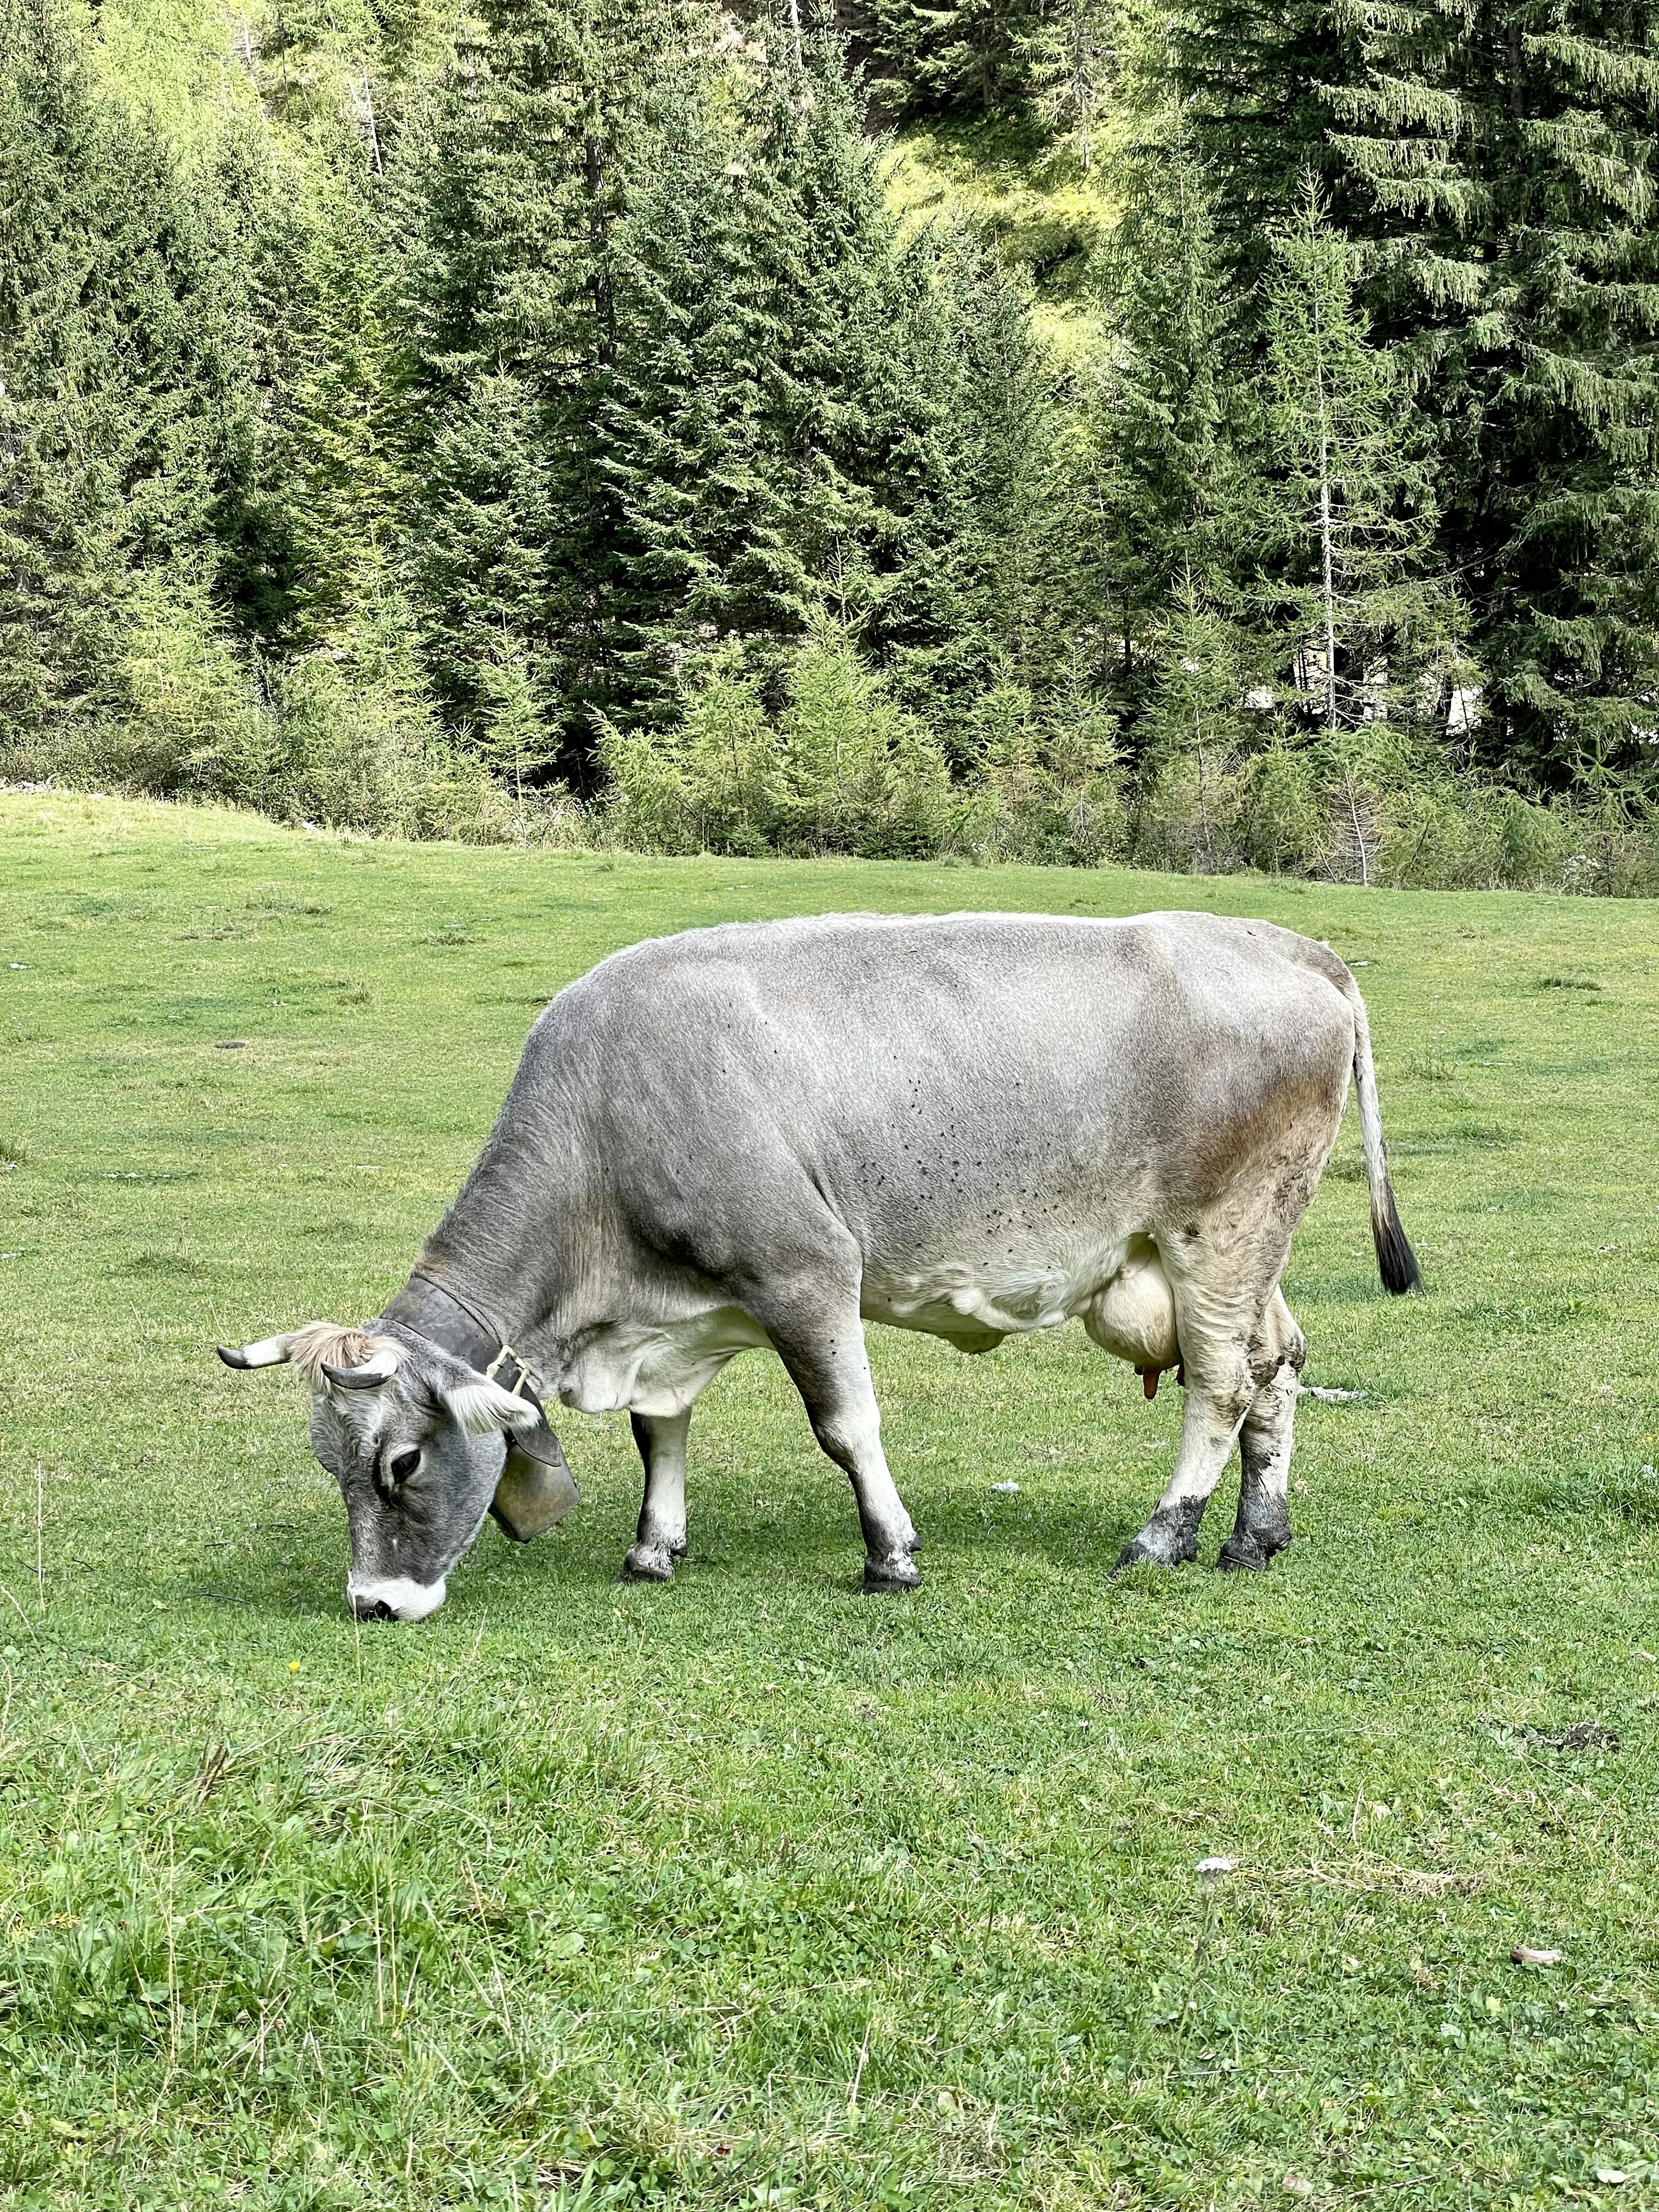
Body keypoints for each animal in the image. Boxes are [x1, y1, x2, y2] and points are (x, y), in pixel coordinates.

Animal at [217, 910, 1418, 1620]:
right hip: (1237, 1253)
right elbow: (661, 1433)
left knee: (1219, 1384)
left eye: (403, 1463)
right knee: (1276, 1367)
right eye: (330, 1464)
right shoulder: (675, 1318)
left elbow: (846, 1429)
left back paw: (1163, 1536)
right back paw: (1256, 1535)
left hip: (1219, 1232)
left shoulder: (804, 1273)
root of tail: (1283, 942)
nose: (371, 1602)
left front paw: (891, 1555)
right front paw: (653, 1548)